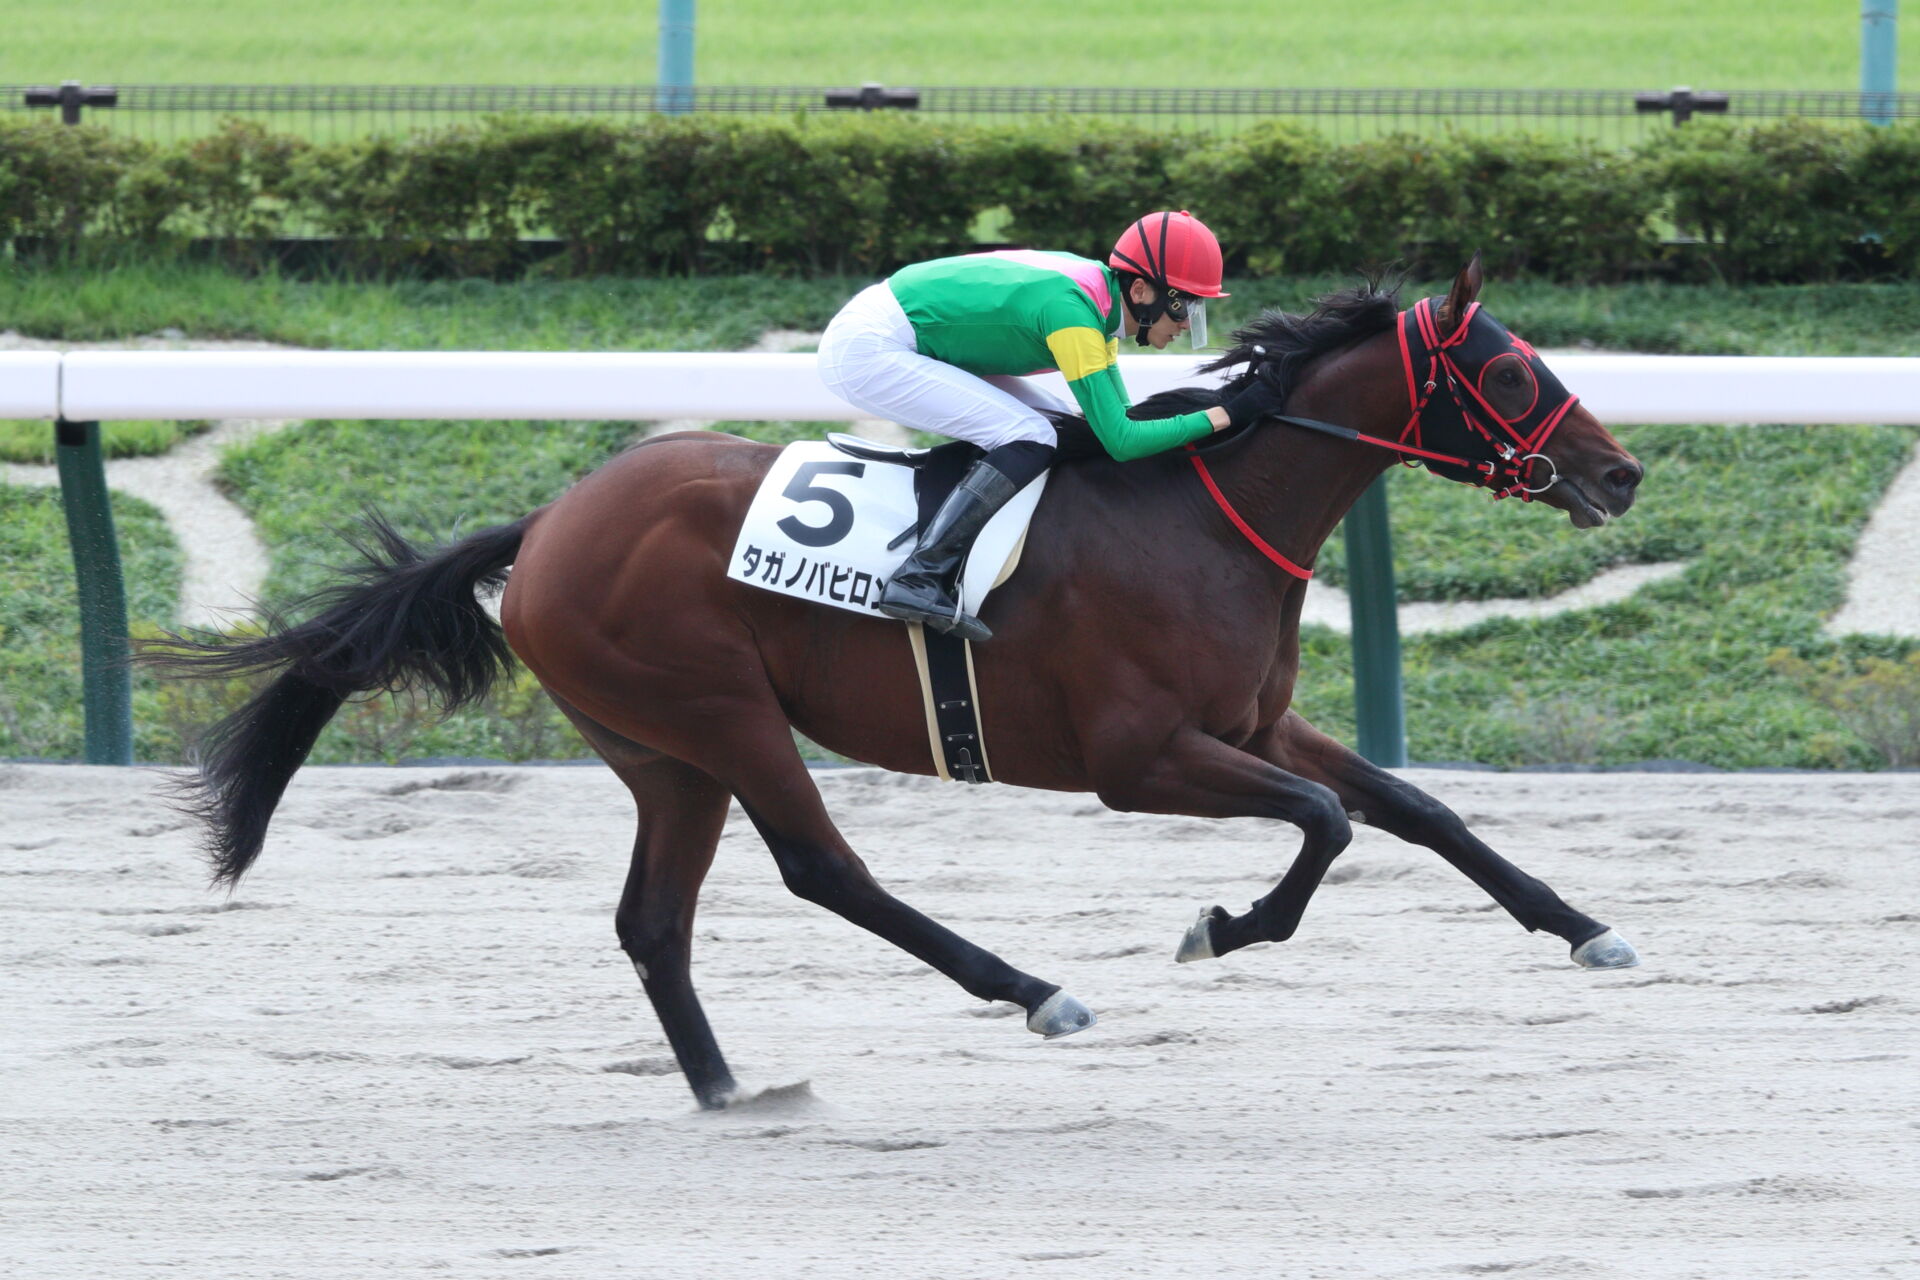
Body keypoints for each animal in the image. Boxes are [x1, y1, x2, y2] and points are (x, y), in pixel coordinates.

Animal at [146, 258, 1645, 1111]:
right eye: (1511, 371)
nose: (1622, 472)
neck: (1206, 512)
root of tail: (550, 521)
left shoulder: (1258, 723)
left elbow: (1413, 809)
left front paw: (1587, 928)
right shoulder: (1138, 759)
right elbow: (1328, 826)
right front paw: (1220, 926)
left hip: (662, 753)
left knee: (653, 922)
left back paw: (728, 1089)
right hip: (720, 713)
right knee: (825, 870)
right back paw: (1031, 989)